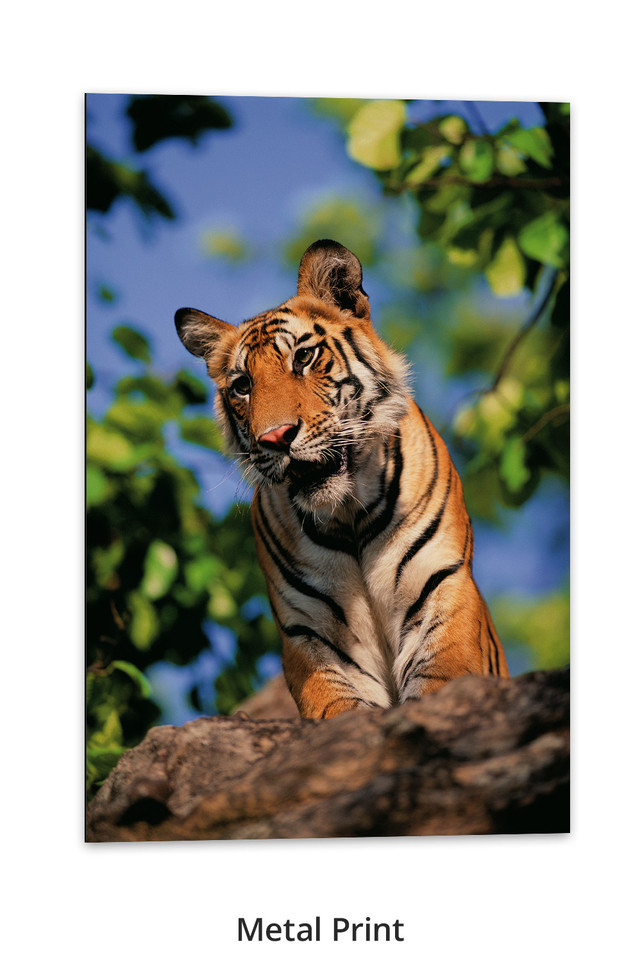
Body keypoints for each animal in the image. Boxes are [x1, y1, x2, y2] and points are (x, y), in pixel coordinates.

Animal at [175, 239, 508, 719]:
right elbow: (337, 708)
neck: (347, 514)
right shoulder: (309, 631)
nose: (275, 437)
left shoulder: (442, 584)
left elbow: (439, 682)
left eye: (303, 357)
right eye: (242, 385)